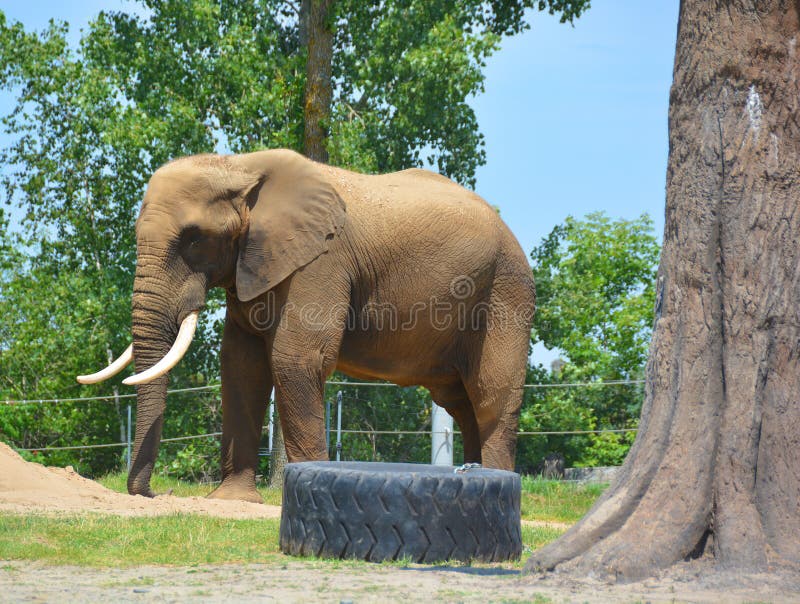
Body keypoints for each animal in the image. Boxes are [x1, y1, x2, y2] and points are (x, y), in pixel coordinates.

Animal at [77, 149, 535, 503]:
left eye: (193, 238)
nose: (159, 493)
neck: (239, 167)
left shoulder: (320, 263)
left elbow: (297, 359)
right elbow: (241, 366)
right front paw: (232, 500)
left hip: (506, 290)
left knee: (490, 394)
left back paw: (498, 483)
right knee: (460, 401)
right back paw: (476, 476)